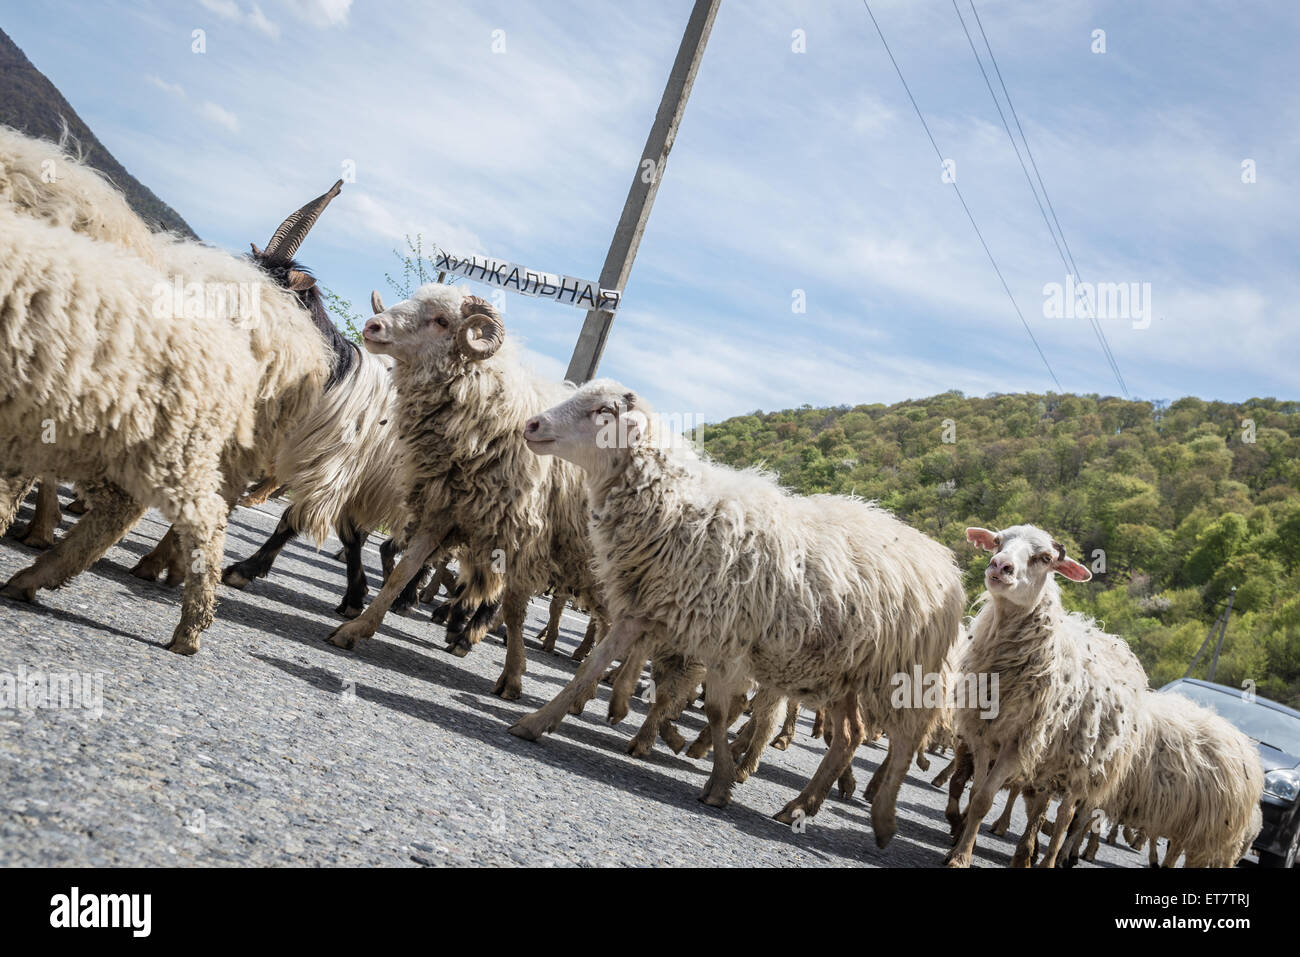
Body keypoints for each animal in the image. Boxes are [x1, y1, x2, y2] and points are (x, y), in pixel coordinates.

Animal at [0, 204, 263, 652]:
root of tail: (235, 355)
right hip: (98, 440)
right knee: (117, 509)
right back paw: (34, 577)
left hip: (168, 445)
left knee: (204, 520)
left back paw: (190, 630)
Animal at [323, 283, 604, 703]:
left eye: (442, 320)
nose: (373, 326)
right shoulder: (442, 511)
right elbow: (403, 571)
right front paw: (358, 628)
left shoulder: (519, 537)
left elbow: (512, 610)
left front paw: (512, 675)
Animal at [508, 379, 965, 847]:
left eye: (603, 410)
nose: (532, 425)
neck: (677, 506)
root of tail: (941, 558)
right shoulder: (641, 610)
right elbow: (592, 669)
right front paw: (536, 722)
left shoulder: (725, 640)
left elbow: (717, 711)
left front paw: (720, 783)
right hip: (841, 673)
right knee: (850, 736)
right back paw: (800, 806)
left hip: (900, 671)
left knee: (906, 739)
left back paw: (883, 819)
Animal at [945, 524, 1148, 868]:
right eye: (997, 542)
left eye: (1044, 558)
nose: (1000, 566)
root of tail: (1114, 639)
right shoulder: (984, 736)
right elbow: (976, 795)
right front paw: (959, 847)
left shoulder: (1018, 744)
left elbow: (985, 799)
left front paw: (960, 857)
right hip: (1051, 762)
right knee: (1039, 809)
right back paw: (1025, 853)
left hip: (1084, 766)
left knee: (1067, 818)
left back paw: (1050, 859)